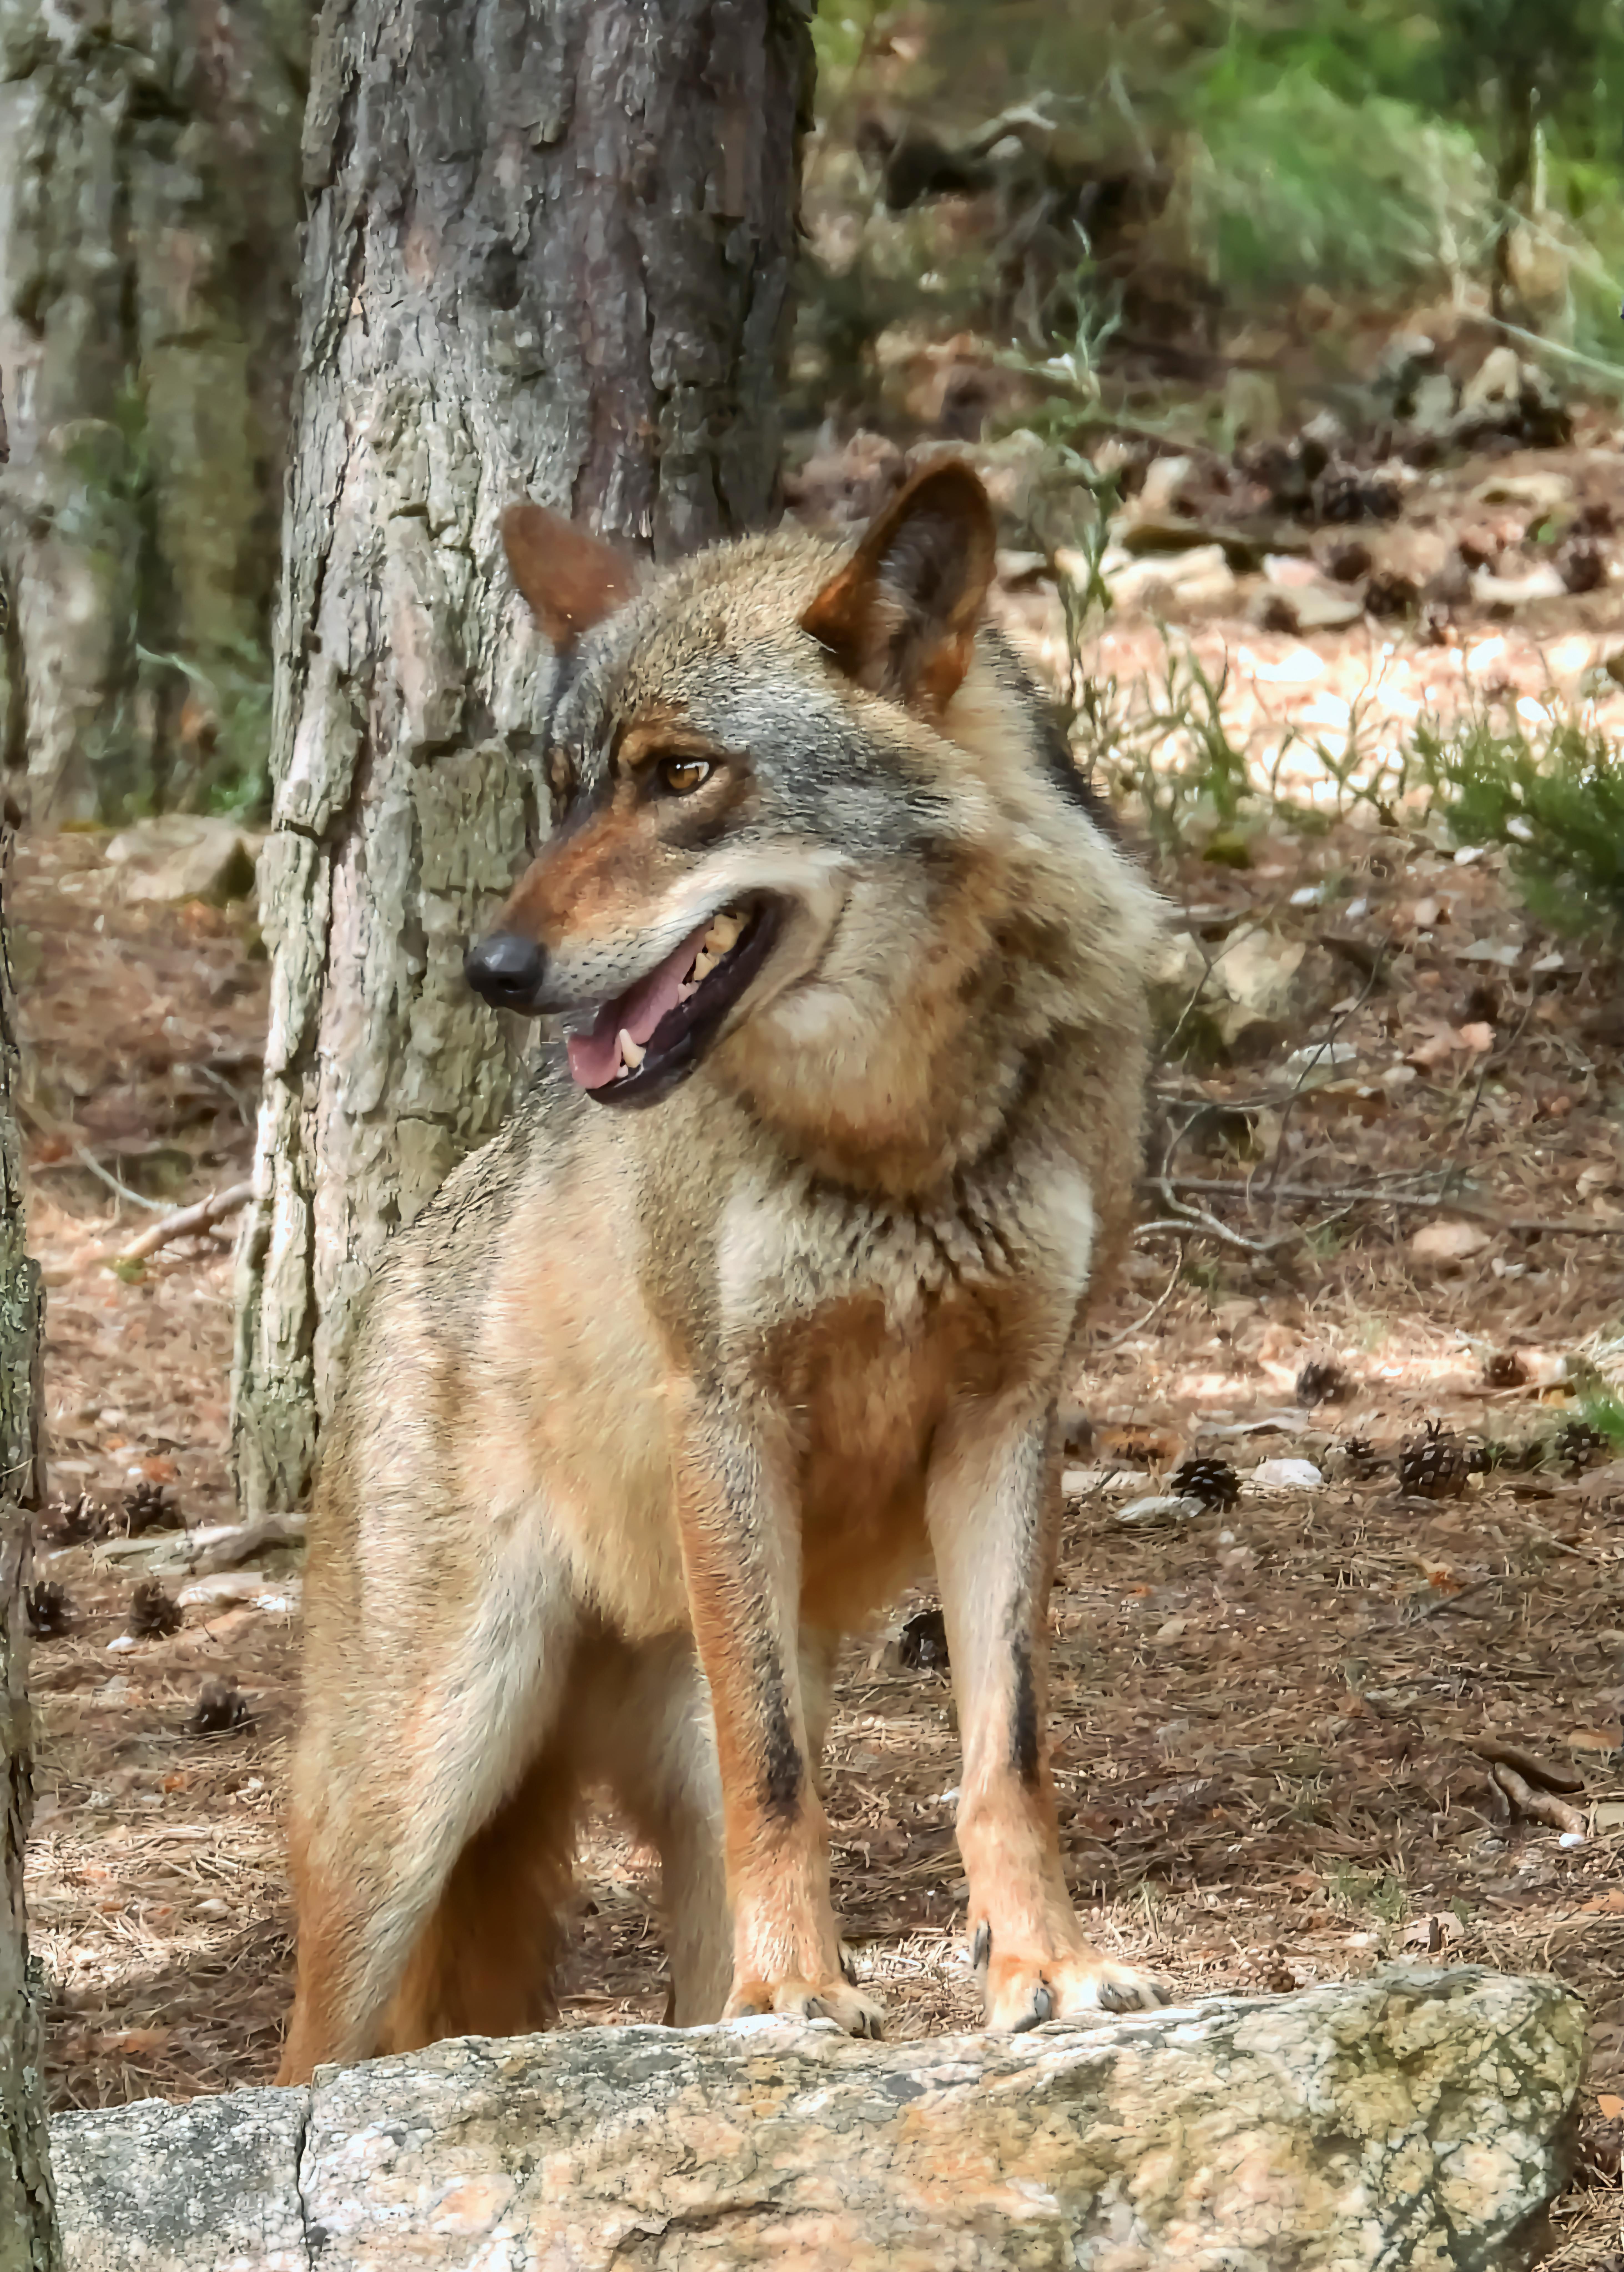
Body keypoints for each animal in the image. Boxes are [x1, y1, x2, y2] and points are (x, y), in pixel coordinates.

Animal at [277, 460, 1166, 2083]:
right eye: (570, 780)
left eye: (680, 774)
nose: (493, 967)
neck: (891, 1127)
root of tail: (402, 1269)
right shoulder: (728, 1408)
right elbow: (780, 1772)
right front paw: (802, 1996)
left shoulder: (1010, 1414)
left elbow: (1006, 1750)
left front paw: (1048, 1972)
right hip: (415, 1799)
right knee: (312, 2056)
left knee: (693, 1962)